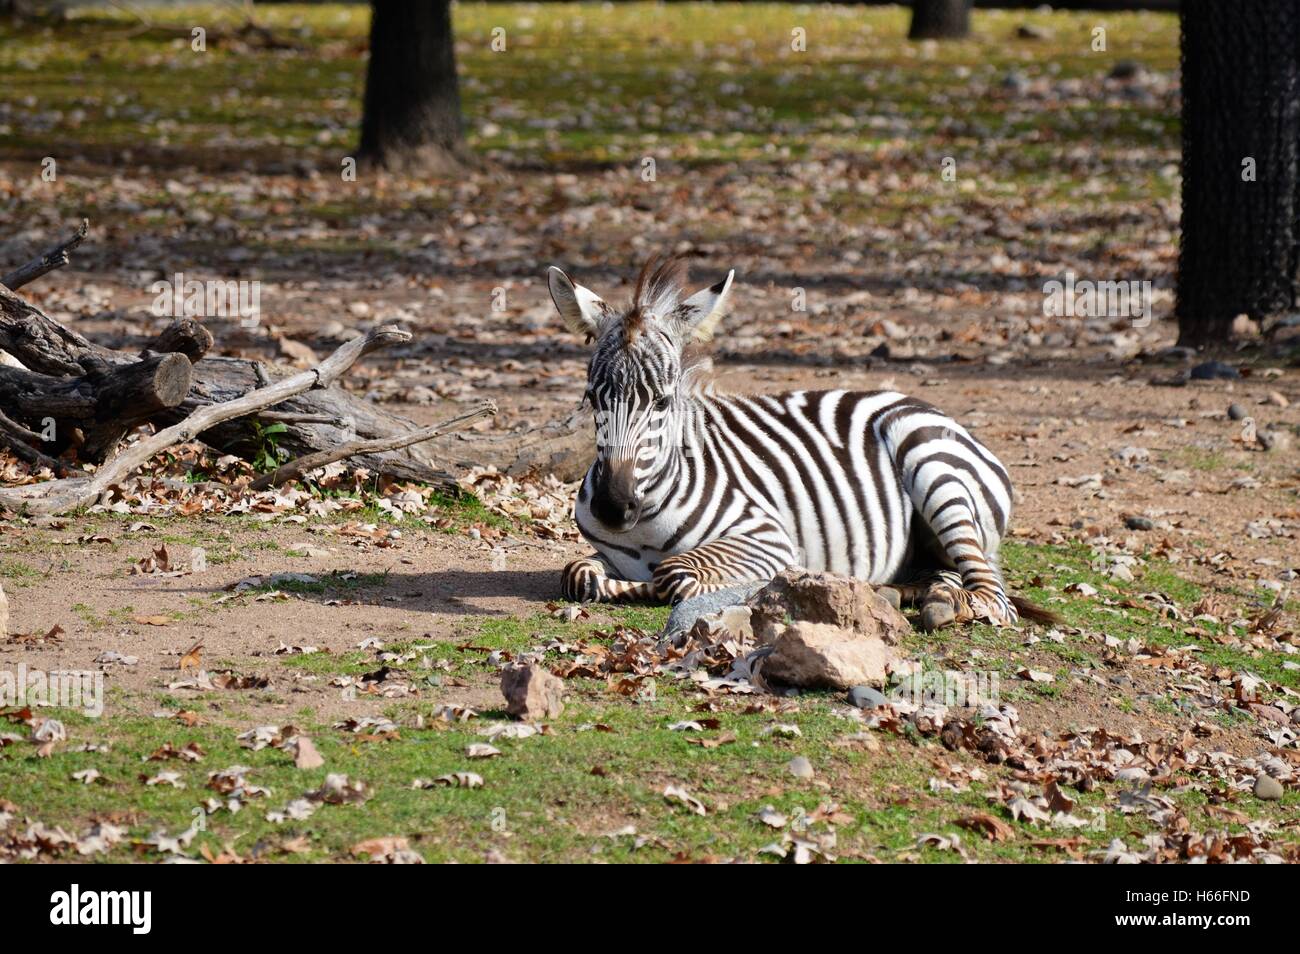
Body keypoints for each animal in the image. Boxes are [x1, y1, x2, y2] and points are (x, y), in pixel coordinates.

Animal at [546, 256, 1055, 630]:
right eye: (593, 398)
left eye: (662, 402)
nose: (613, 508)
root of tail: (928, 406)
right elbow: (578, 575)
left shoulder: (767, 537)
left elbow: (675, 574)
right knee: (949, 572)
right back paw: (897, 592)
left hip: (931, 464)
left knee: (994, 596)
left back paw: (946, 605)